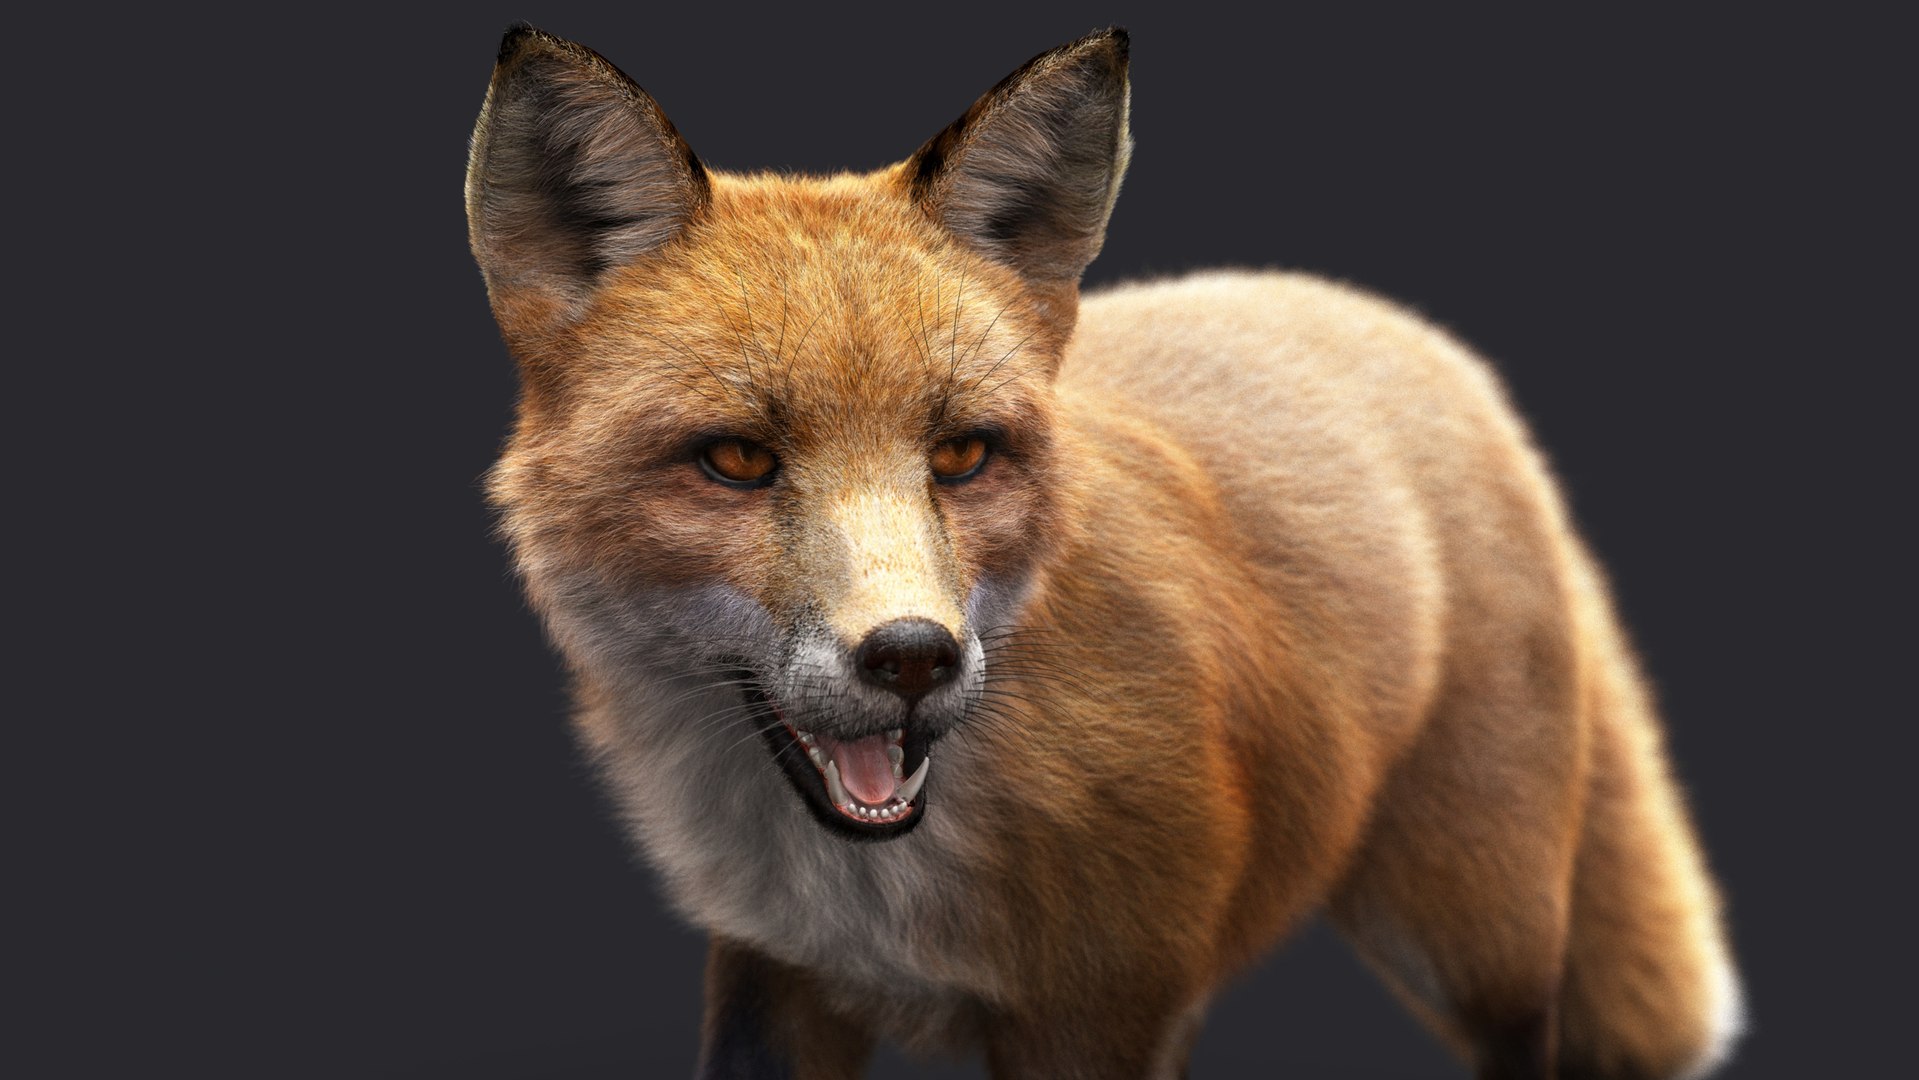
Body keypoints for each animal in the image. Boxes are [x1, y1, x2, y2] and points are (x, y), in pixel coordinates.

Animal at [463, 23, 1744, 1080]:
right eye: (735, 460)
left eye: (962, 454)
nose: (914, 658)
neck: (877, 895)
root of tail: (1412, 335)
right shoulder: (773, 977)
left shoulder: (1105, 1005)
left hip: (1473, 928)